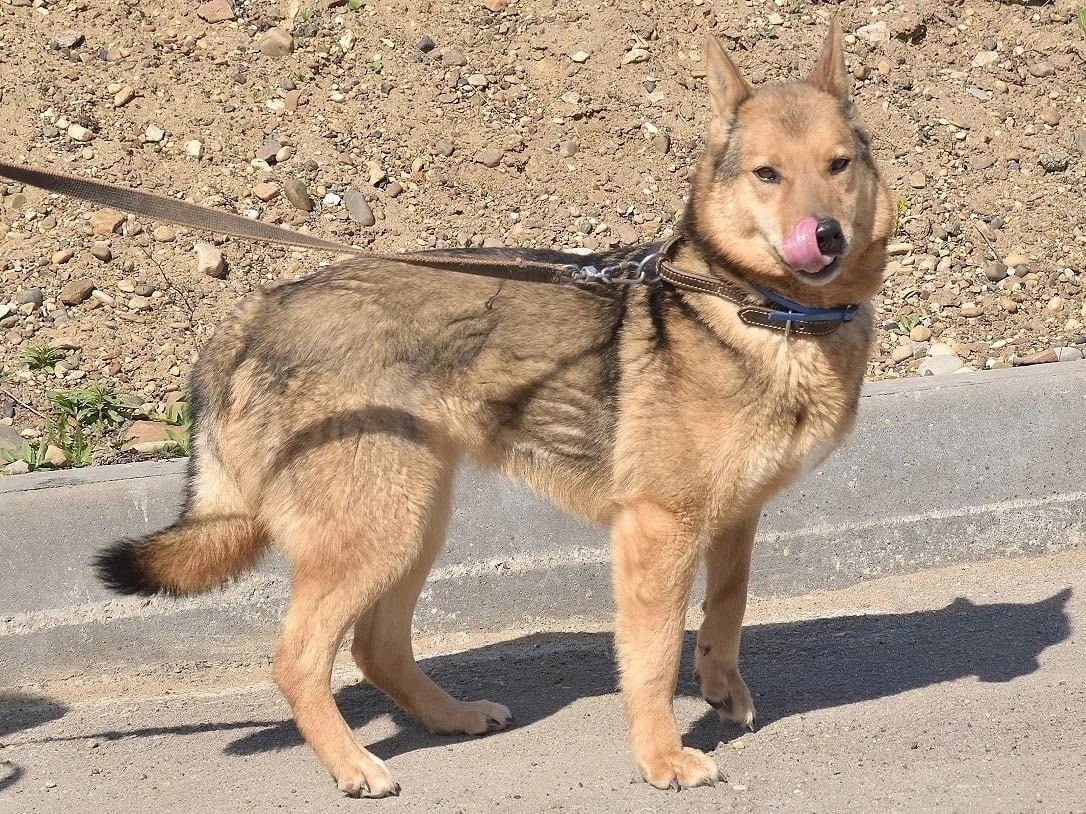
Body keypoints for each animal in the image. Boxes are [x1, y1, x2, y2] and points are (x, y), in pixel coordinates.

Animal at [95, 22, 890, 798]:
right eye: (766, 174)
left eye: (838, 165)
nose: (825, 235)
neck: (757, 309)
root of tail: (254, 315)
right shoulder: (658, 530)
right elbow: (655, 657)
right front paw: (661, 757)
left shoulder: (733, 517)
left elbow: (727, 609)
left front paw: (721, 688)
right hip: (380, 532)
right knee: (297, 660)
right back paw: (352, 764)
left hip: (415, 522)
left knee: (376, 648)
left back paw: (449, 716)